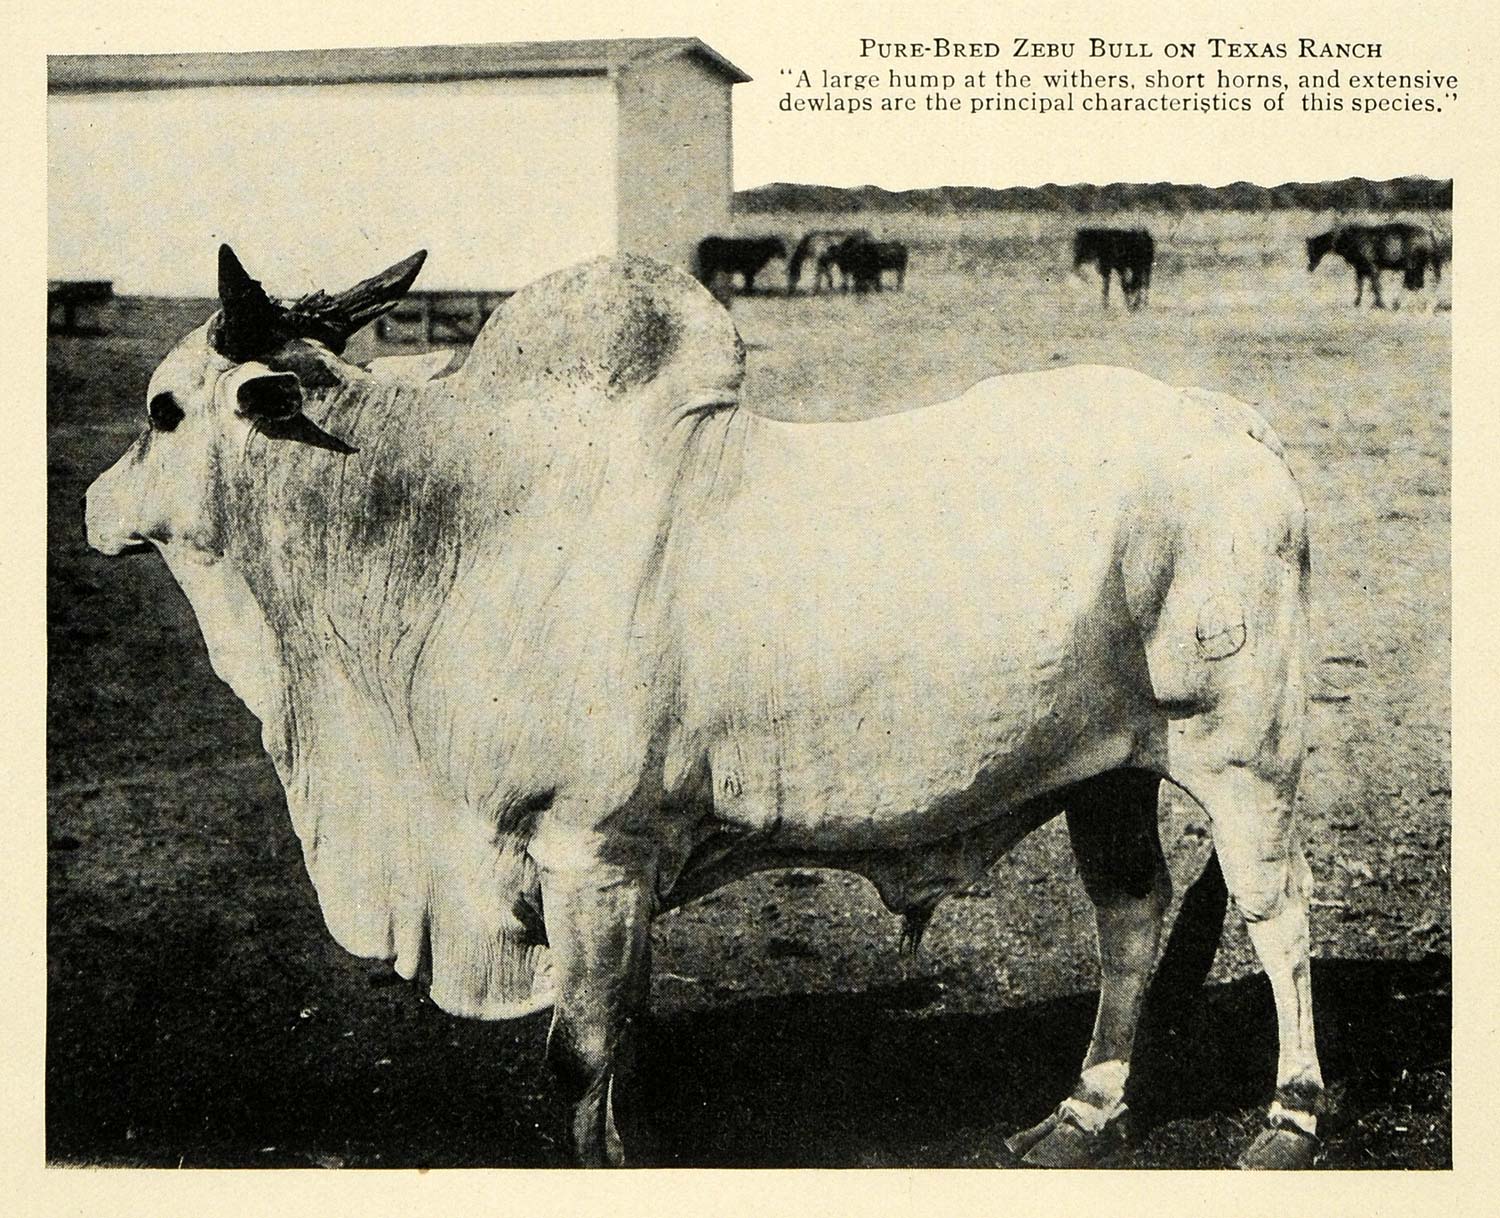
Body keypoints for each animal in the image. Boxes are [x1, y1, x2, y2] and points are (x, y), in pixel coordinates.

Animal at [85, 244, 1326, 1170]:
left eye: (164, 411)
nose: (94, 505)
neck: (461, 518)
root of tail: (1232, 420)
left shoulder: (587, 850)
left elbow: (581, 1054)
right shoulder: (620, 863)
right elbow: (622, 1038)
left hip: (1242, 754)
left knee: (1281, 914)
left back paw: (1291, 1118)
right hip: (1109, 768)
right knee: (1130, 913)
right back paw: (1085, 1112)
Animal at [1305, 223, 1446, 308]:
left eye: (1312, 249)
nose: (1309, 267)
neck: (1352, 240)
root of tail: (1430, 236)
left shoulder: (1372, 268)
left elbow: (1376, 286)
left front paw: (1380, 304)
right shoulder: (1360, 269)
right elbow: (1360, 286)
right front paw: (1358, 303)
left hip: (1413, 266)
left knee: (1413, 284)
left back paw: (1399, 303)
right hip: (1418, 267)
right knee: (1418, 285)